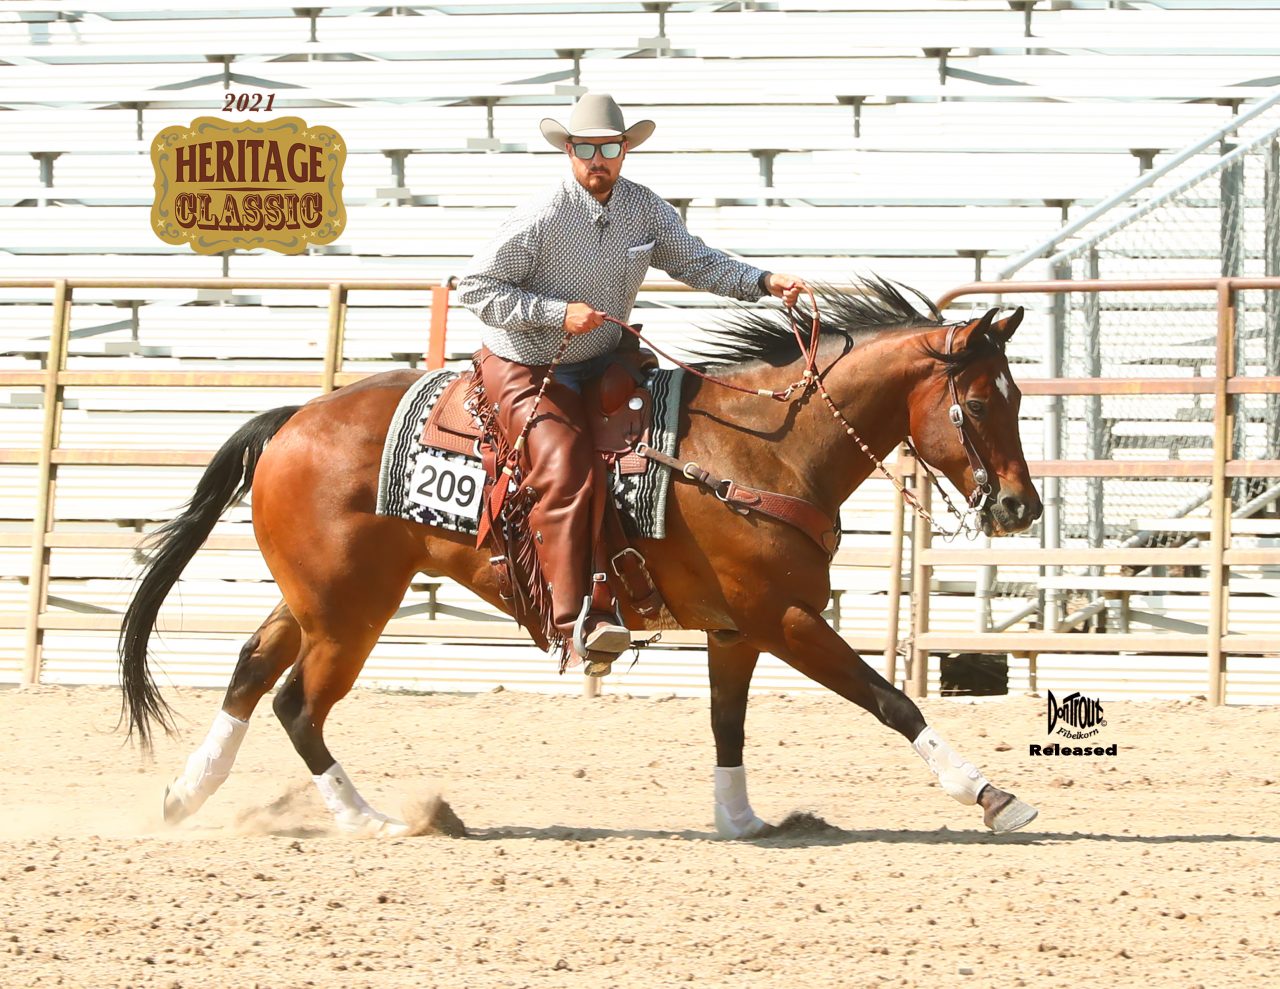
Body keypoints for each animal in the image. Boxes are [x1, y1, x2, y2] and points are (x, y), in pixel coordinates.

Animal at [119, 276, 1043, 838]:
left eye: (1017, 396)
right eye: (976, 403)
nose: (1020, 506)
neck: (765, 449)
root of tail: (290, 420)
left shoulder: (735, 630)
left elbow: (728, 723)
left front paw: (741, 819)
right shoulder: (783, 618)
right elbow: (890, 699)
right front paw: (992, 795)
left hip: (319, 598)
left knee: (250, 669)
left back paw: (185, 794)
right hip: (351, 611)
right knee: (297, 703)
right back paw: (370, 818)